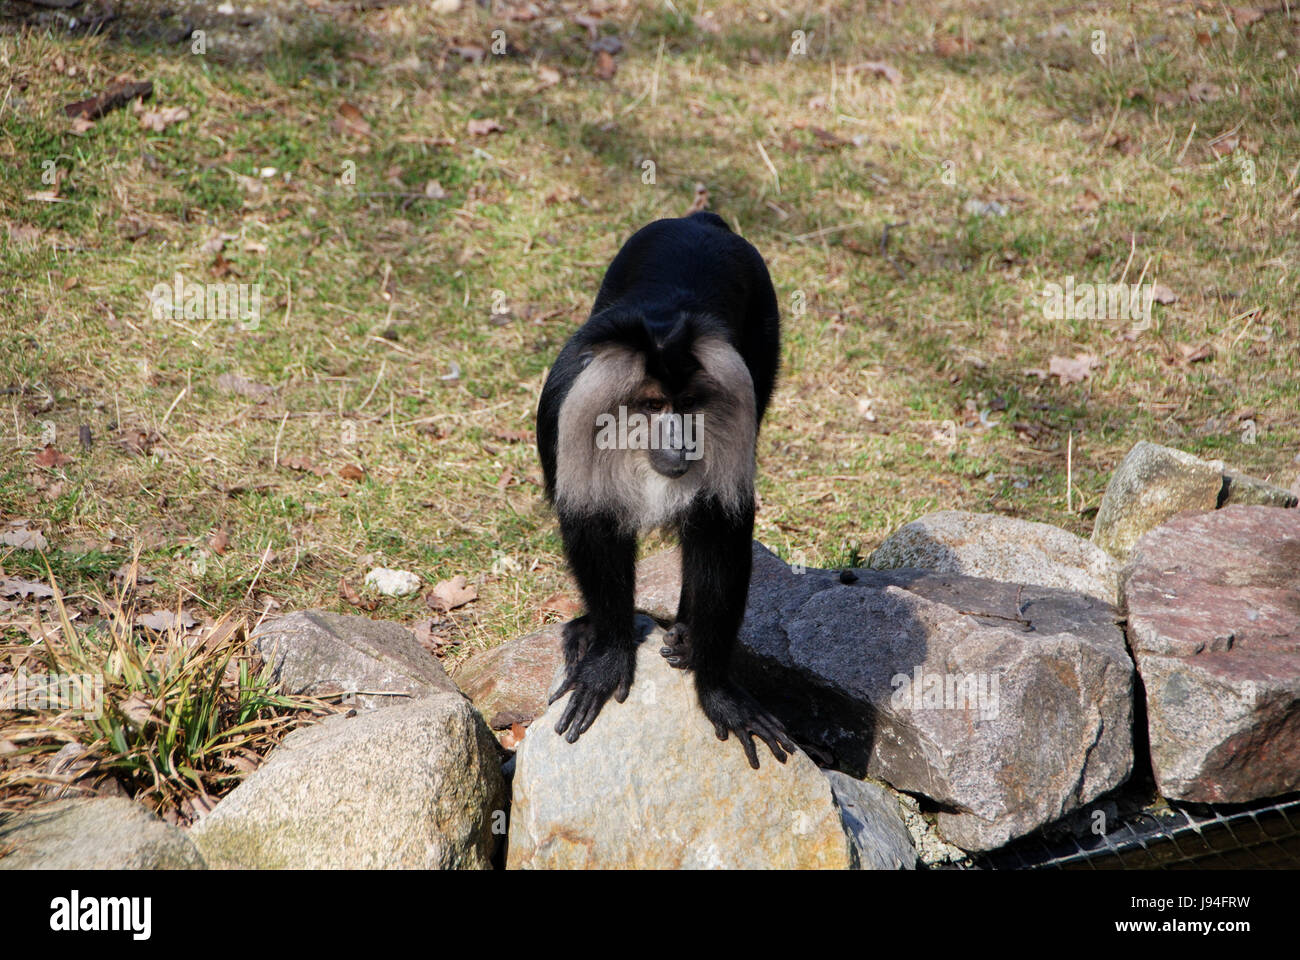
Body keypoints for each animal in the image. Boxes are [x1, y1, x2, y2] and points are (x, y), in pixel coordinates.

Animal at [536, 210, 796, 769]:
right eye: (654, 406)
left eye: (690, 404)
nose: (681, 443)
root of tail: (699, 219)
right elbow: (594, 533)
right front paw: (607, 656)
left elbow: (719, 537)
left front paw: (716, 688)